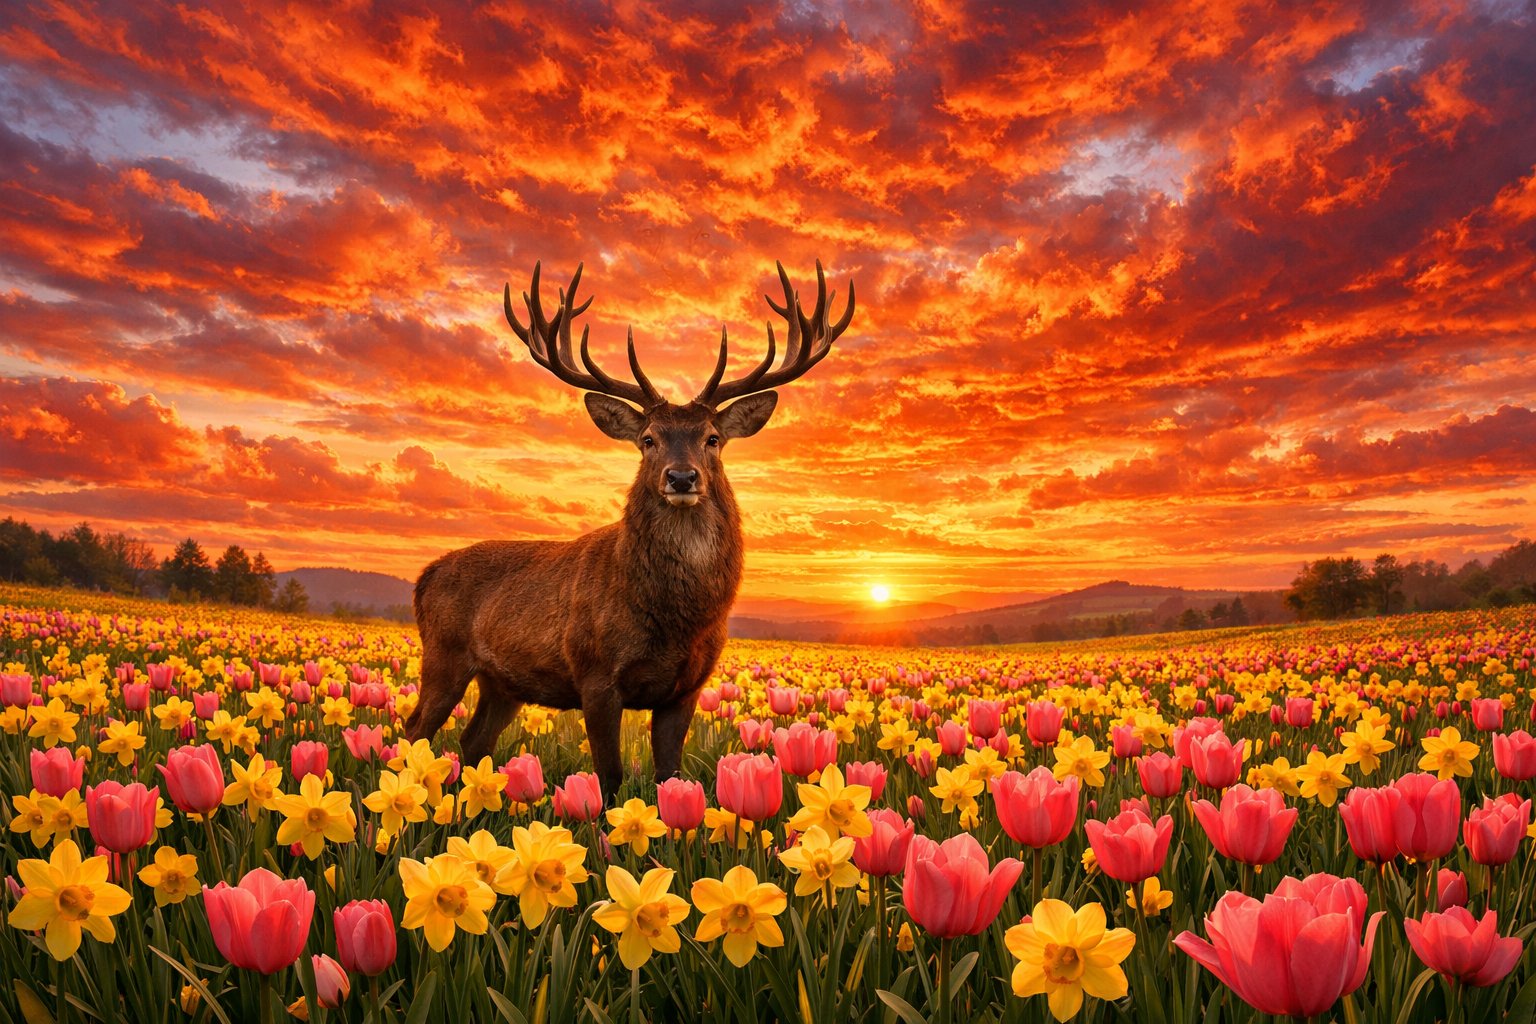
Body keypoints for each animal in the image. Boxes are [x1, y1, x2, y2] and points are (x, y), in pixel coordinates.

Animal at [404, 261, 855, 802]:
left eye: (713, 438)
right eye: (647, 439)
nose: (681, 477)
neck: (674, 618)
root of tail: (425, 575)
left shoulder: (687, 687)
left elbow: (669, 777)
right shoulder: (595, 674)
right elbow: (610, 778)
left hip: (503, 684)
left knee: (473, 742)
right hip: (443, 655)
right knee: (414, 731)